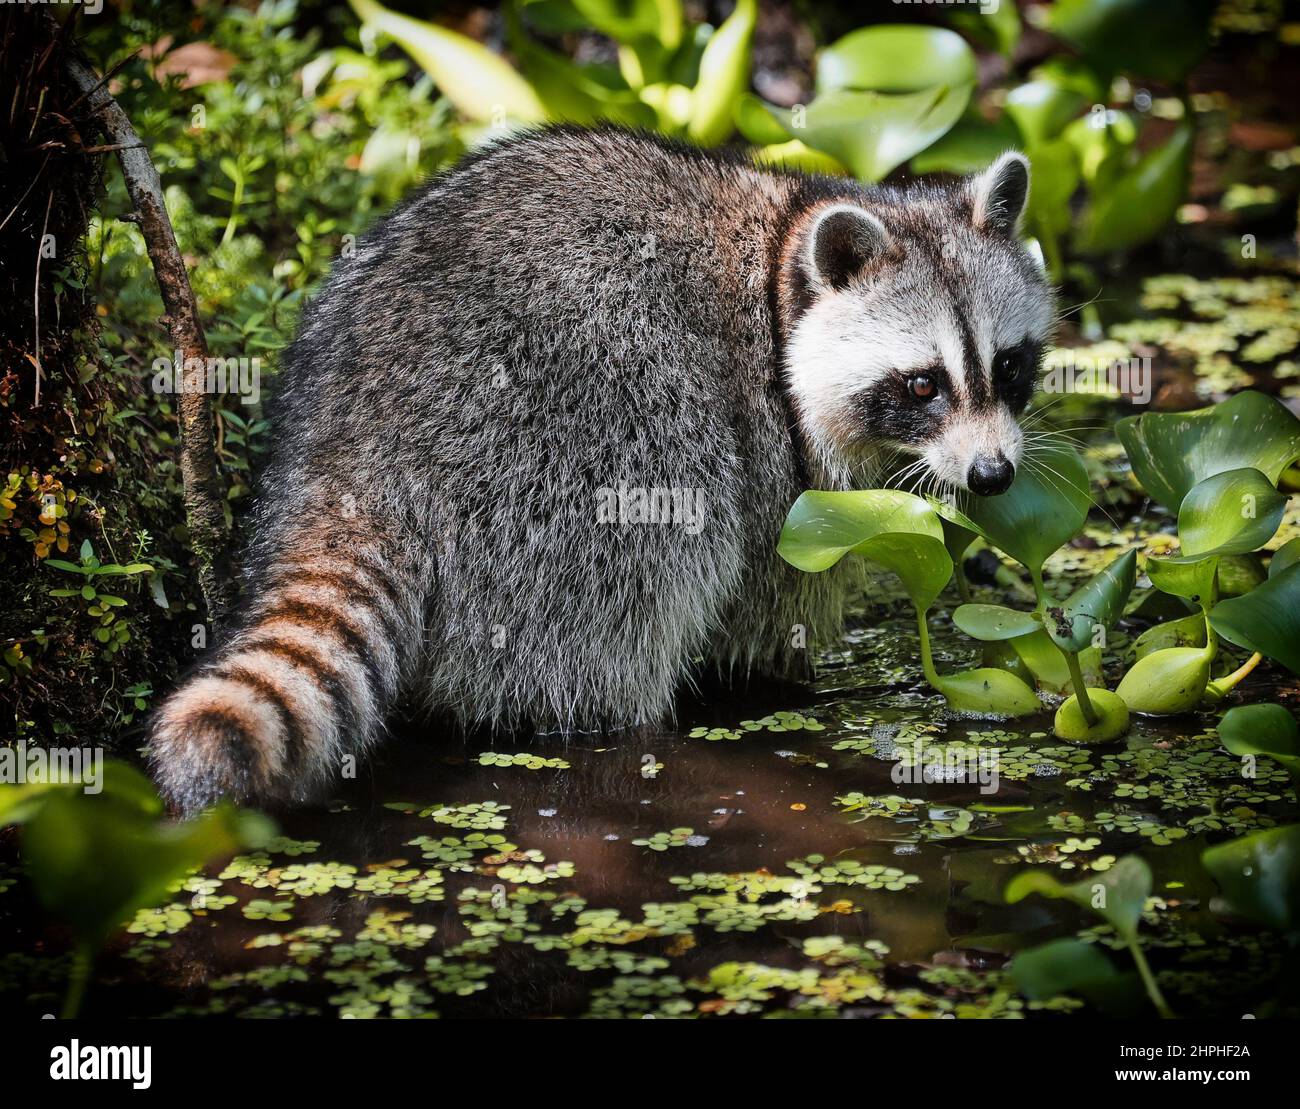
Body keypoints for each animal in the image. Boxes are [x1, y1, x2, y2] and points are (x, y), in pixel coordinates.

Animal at [149, 126, 1053, 811]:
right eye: (923, 384)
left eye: (1008, 366)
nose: (993, 475)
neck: (783, 259)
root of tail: (357, 449)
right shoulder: (781, 473)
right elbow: (761, 616)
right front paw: (779, 680)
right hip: (578, 443)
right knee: (631, 595)